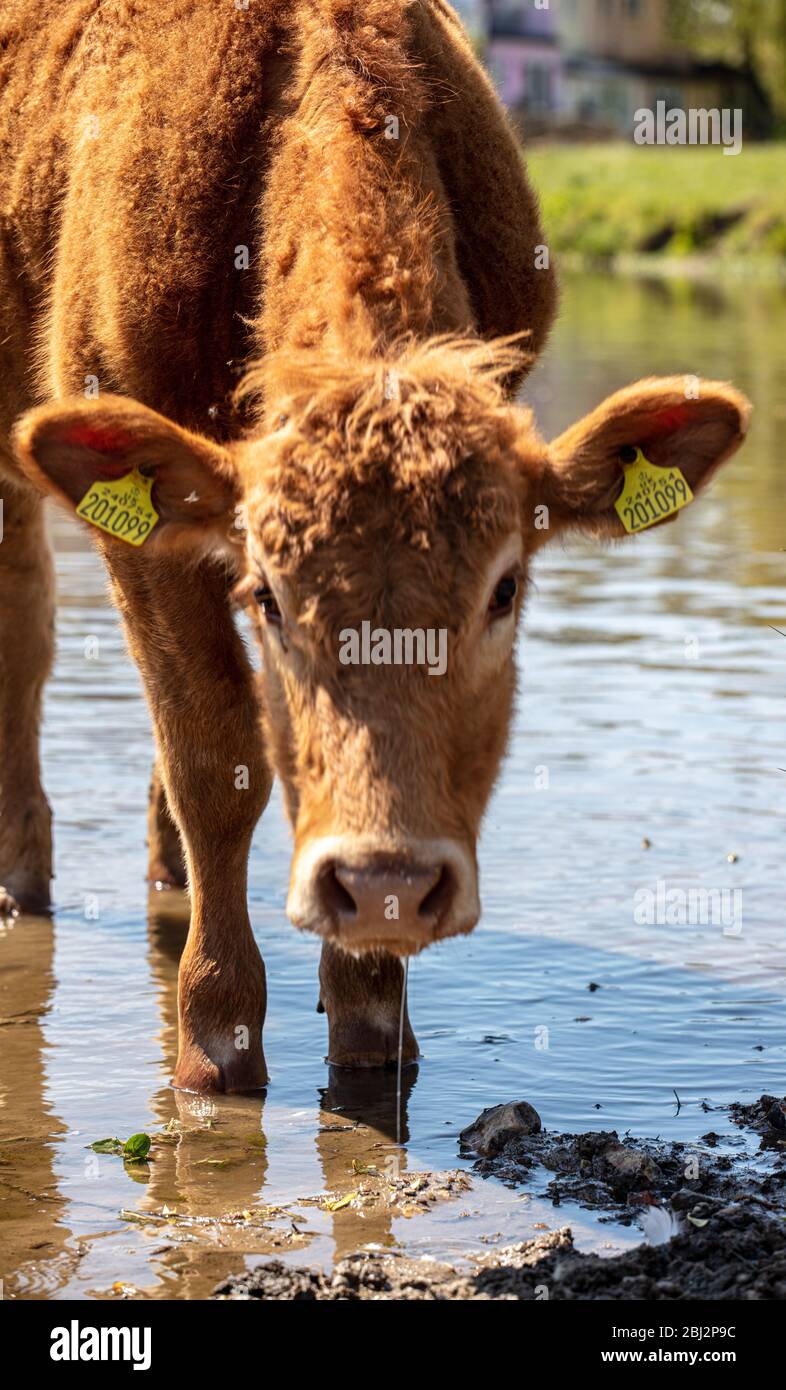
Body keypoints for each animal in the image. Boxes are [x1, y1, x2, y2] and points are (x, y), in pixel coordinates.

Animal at [0, 0, 750, 1091]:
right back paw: (23, 879)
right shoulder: (140, 526)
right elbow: (214, 758)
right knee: (26, 629)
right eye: (270, 595)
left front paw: (368, 1016)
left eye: (505, 591)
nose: (383, 881)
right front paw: (213, 1037)